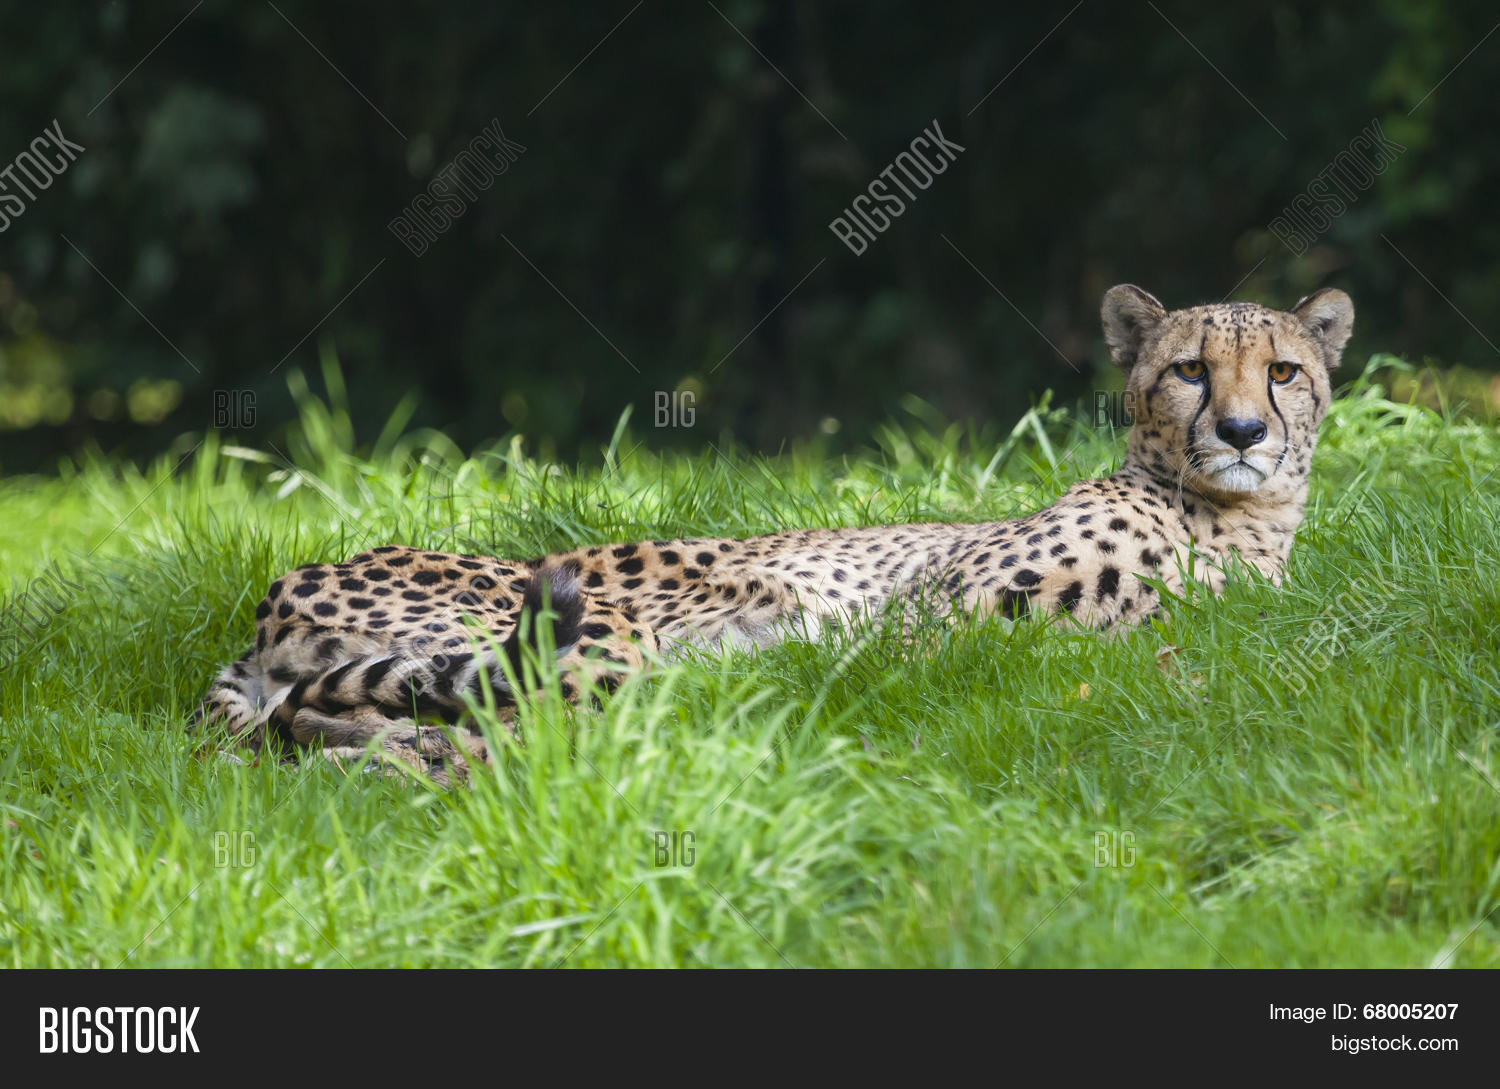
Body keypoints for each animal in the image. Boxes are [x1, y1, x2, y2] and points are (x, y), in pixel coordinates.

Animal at [193, 284, 1354, 783]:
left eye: (1282, 371)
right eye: (1190, 369)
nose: (1243, 430)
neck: (1230, 518)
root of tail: (280, 589)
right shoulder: (938, 617)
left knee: (324, 726)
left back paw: (384, 762)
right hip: (596, 634)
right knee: (513, 732)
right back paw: (413, 767)